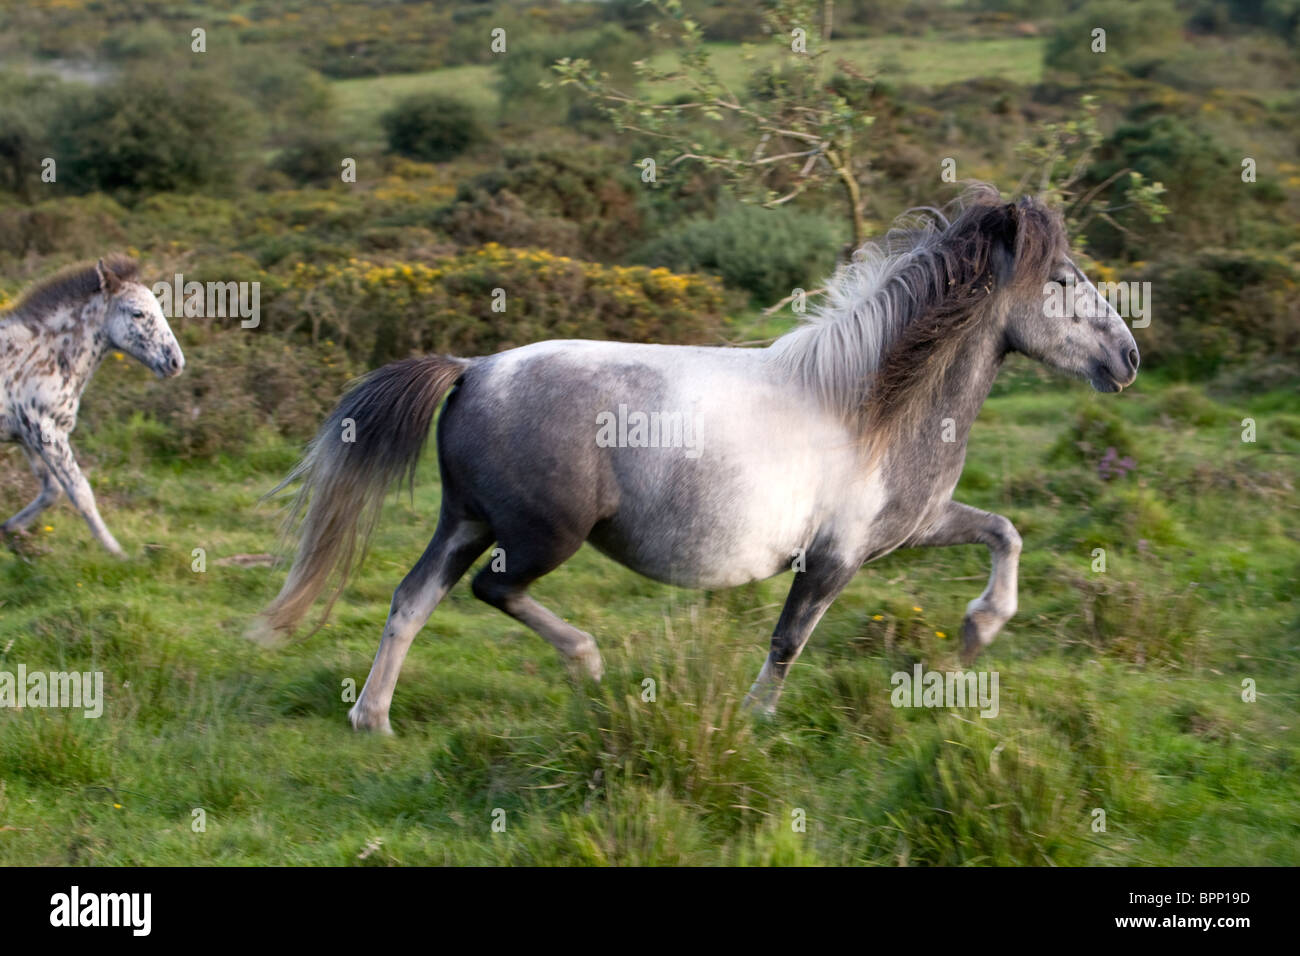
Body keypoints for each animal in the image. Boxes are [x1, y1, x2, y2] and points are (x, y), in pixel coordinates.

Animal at [0, 256, 185, 557]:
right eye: (137, 313)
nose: (175, 362)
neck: (41, 354)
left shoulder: (27, 438)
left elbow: (52, 491)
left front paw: (7, 528)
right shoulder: (45, 431)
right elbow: (81, 492)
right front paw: (118, 553)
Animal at [254, 184, 1139, 733]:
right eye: (1063, 280)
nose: (1128, 358)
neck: (872, 404)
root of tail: (474, 368)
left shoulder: (914, 526)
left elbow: (1004, 531)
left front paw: (978, 633)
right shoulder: (835, 557)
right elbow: (788, 641)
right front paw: (756, 720)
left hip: (465, 521)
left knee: (412, 600)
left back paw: (373, 719)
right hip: (539, 535)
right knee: (491, 591)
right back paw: (587, 662)